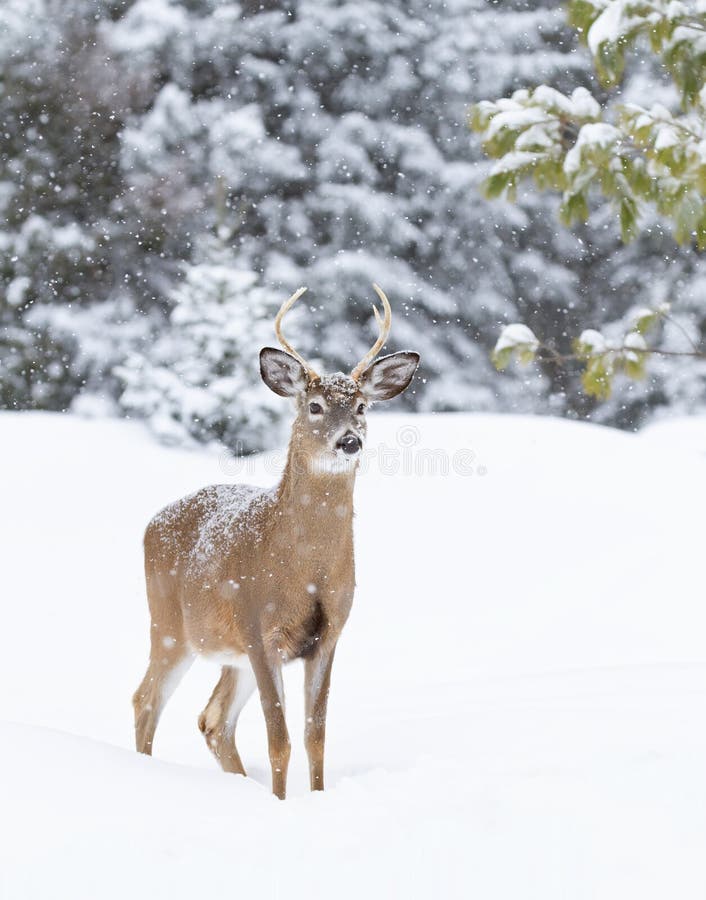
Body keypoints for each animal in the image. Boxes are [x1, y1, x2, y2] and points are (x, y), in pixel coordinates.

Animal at [133, 284, 420, 799]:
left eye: (362, 407)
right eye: (314, 406)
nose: (350, 441)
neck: (306, 571)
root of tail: (152, 521)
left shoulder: (329, 632)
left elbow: (314, 735)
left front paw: (316, 799)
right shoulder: (258, 626)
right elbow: (279, 739)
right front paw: (282, 805)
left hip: (228, 654)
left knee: (212, 719)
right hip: (169, 625)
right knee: (146, 701)